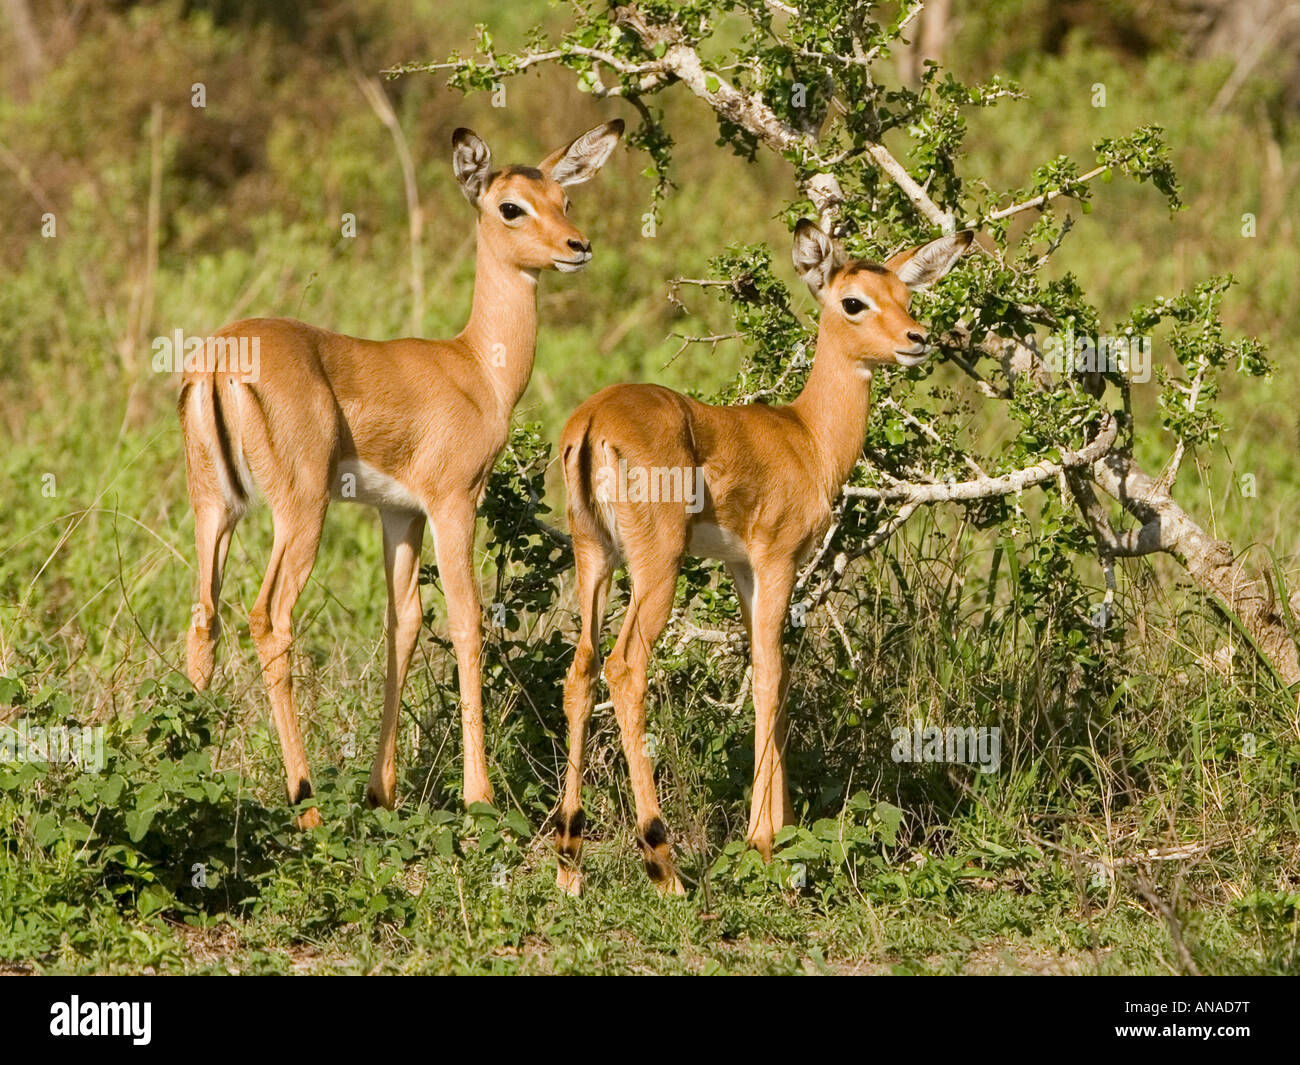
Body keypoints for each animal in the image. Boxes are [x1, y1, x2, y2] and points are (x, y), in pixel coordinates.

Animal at [179, 119, 624, 827]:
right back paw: (306, 804)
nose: (576, 247)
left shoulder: (399, 512)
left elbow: (403, 624)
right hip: (300, 511)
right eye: (511, 207)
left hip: (215, 509)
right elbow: (468, 621)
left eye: (565, 199)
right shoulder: (452, 502)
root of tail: (221, 360)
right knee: (268, 619)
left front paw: (381, 792)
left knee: (204, 618)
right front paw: (479, 796)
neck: (476, 368)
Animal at [554, 219, 973, 893]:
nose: (917, 339)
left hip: (594, 557)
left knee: (582, 670)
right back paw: (664, 865)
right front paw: (765, 842)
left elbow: (767, 670)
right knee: (625, 669)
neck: (807, 437)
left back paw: (569, 863)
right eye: (853, 301)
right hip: (656, 567)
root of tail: (593, 424)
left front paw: (782, 826)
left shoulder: (743, 568)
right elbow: (772, 679)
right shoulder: (778, 559)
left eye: (905, 296)